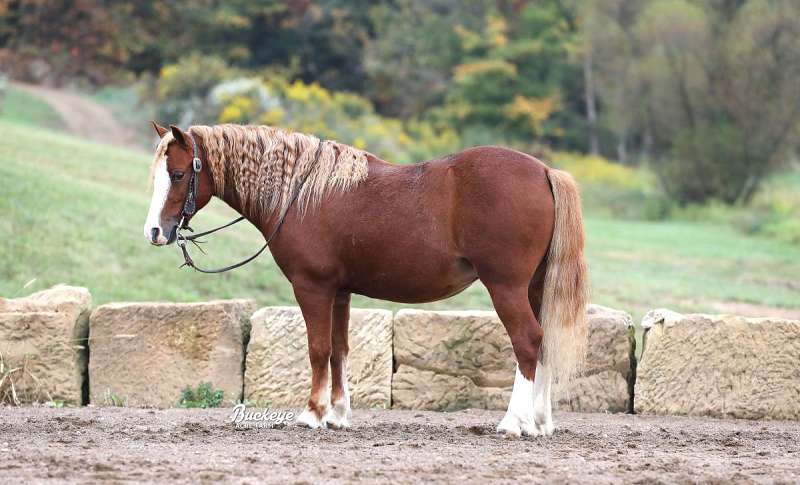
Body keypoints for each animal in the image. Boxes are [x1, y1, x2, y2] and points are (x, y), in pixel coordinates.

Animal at [144, 122, 588, 437]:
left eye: (179, 174)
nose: (155, 232)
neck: (302, 193)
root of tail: (544, 170)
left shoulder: (312, 288)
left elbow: (318, 349)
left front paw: (312, 413)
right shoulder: (340, 293)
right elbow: (339, 350)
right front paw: (338, 414)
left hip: (505, 287)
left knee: (527, 341)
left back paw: (515, 422)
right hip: (533, 289)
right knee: (544, 341)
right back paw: (540, 421)